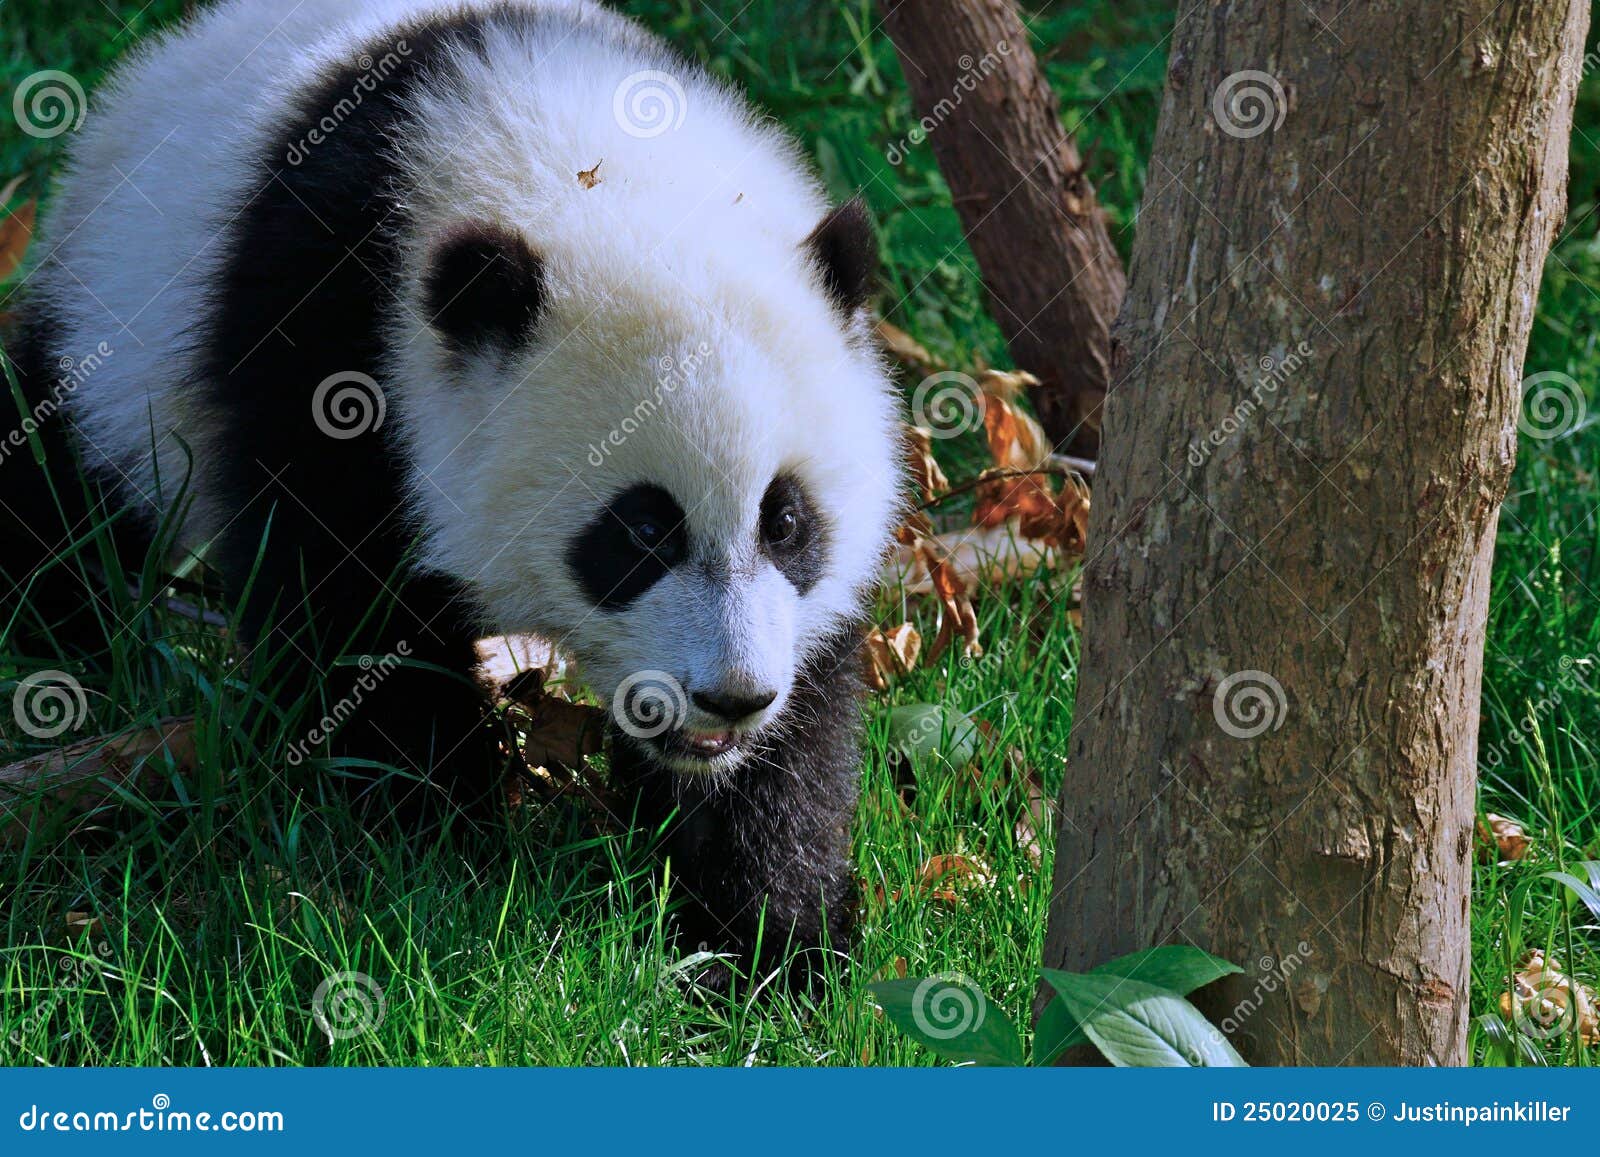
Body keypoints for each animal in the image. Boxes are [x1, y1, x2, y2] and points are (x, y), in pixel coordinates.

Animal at [0, 0, 902, 977]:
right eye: (641, 532)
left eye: (787, 522)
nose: (731, 696)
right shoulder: (330, 338)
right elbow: (346, 597)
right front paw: (440, 850)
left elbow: (800, 717)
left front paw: (767, 939)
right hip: (112, 318)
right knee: (64, 479)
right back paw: (57, 625)